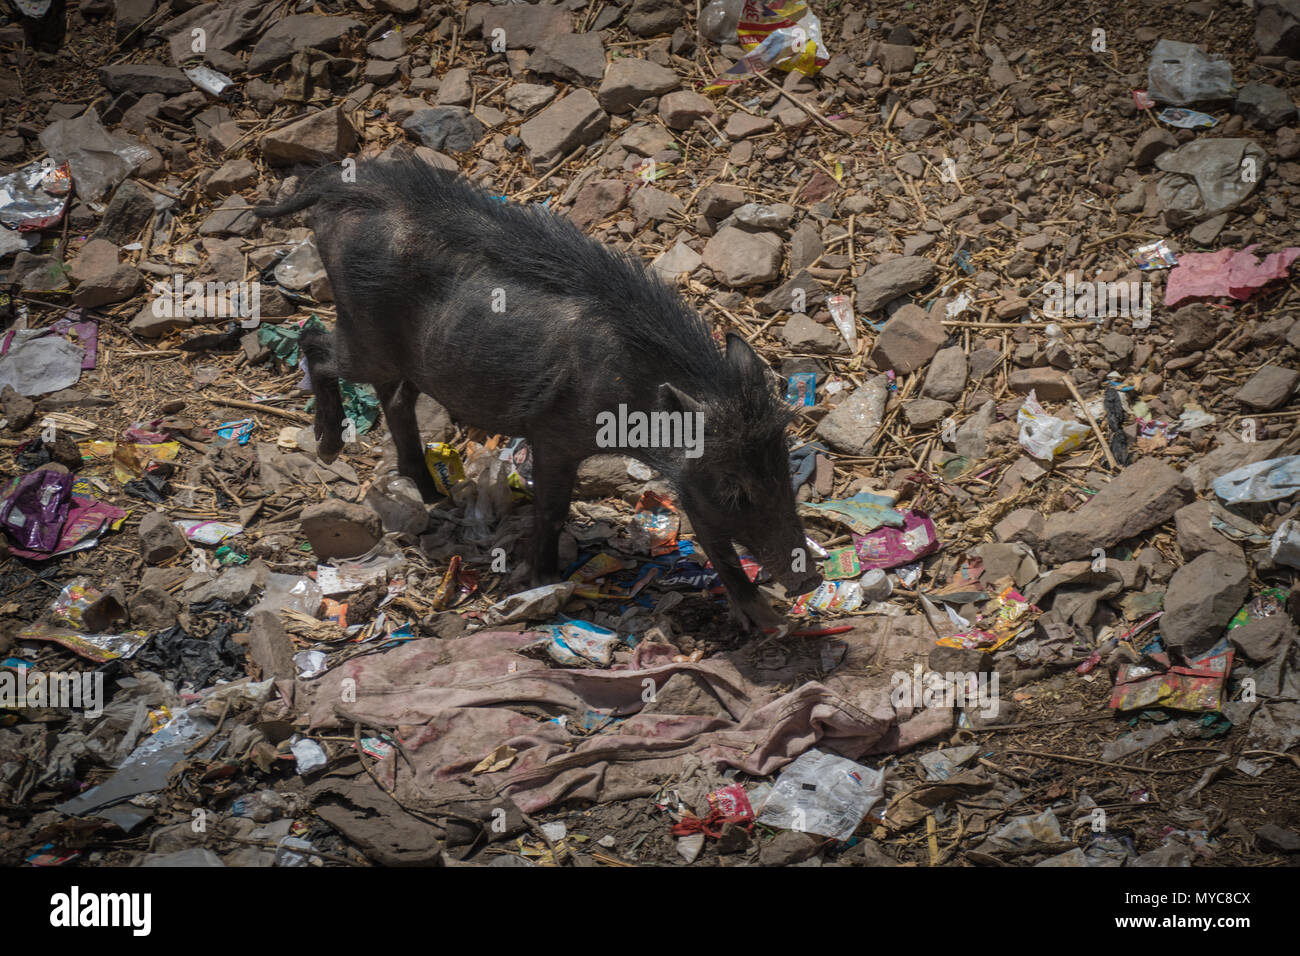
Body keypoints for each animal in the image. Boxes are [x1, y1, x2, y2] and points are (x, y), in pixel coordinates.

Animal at [254, 153, 821, 631]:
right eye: (737, 490)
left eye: (785, 471)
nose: (811, 580)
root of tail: (341, 188)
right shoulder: (556, 437)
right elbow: (553, 509)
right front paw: (542, 583)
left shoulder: (687, 482)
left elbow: (713, 540)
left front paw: (766, 622)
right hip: (363, 337)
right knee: (315, 343)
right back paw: (329, 447)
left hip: (410, 361)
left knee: (395, 402)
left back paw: (433, 494)